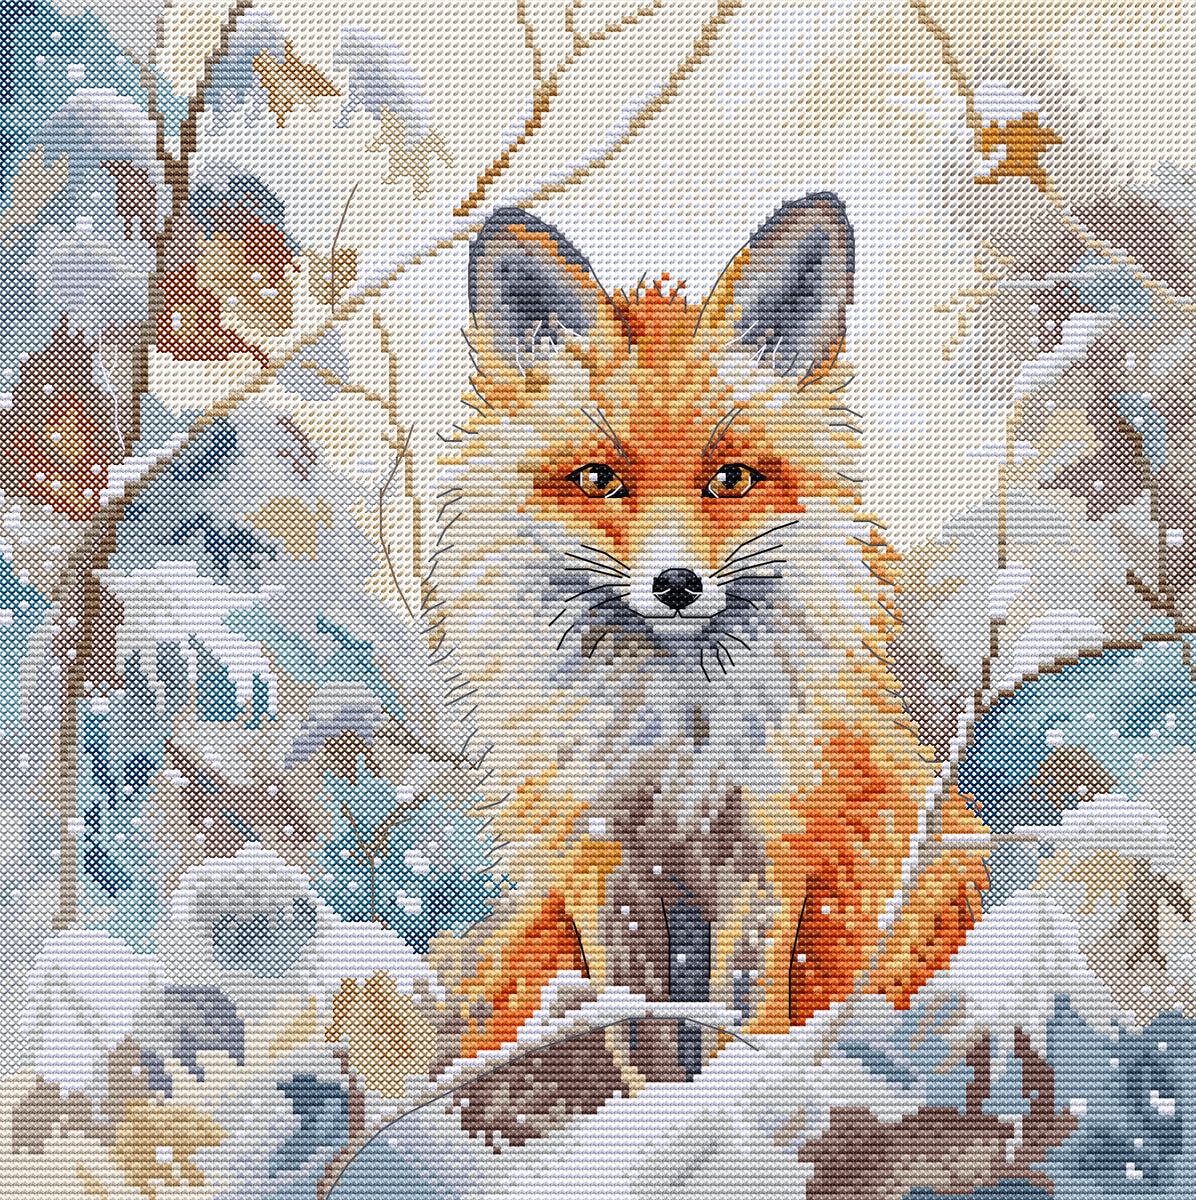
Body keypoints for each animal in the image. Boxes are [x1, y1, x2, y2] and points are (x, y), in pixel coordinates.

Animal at [412, 195, 989, 1126]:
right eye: (599, 479)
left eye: (732, 478)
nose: (677, 583)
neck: (674, 743)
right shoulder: (601, 860)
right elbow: (638, 1026)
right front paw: (651, 1121)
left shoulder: (769, 851)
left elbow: (740, 1014)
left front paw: (732, 1110)